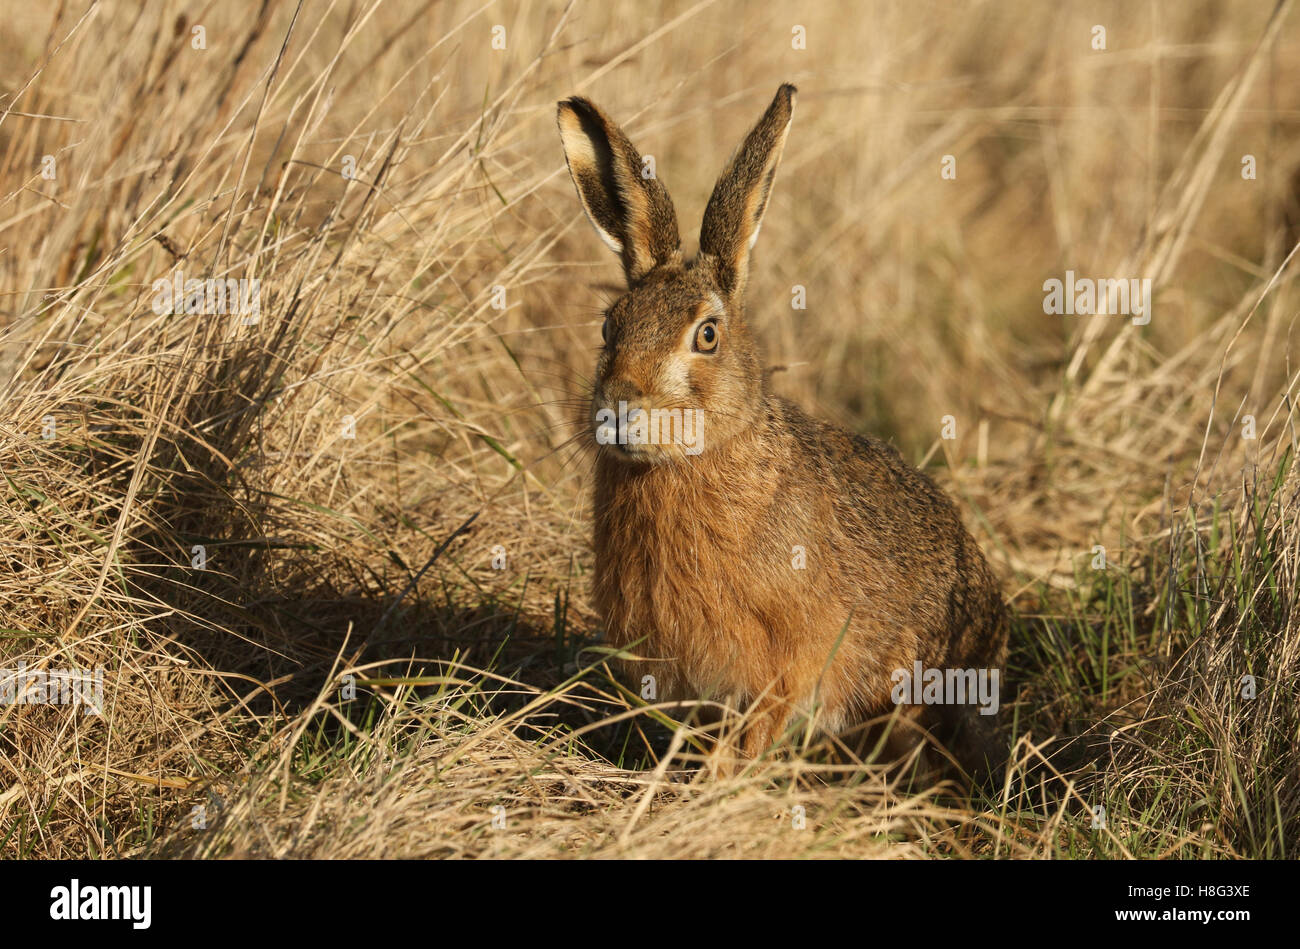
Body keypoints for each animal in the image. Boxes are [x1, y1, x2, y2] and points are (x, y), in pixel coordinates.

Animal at [556, 83, 1009, 775]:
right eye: (610, 326)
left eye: (706, 336)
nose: (620, 408)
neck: (688, 460)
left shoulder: (782, 665)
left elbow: (758, 727)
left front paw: (718, 782)